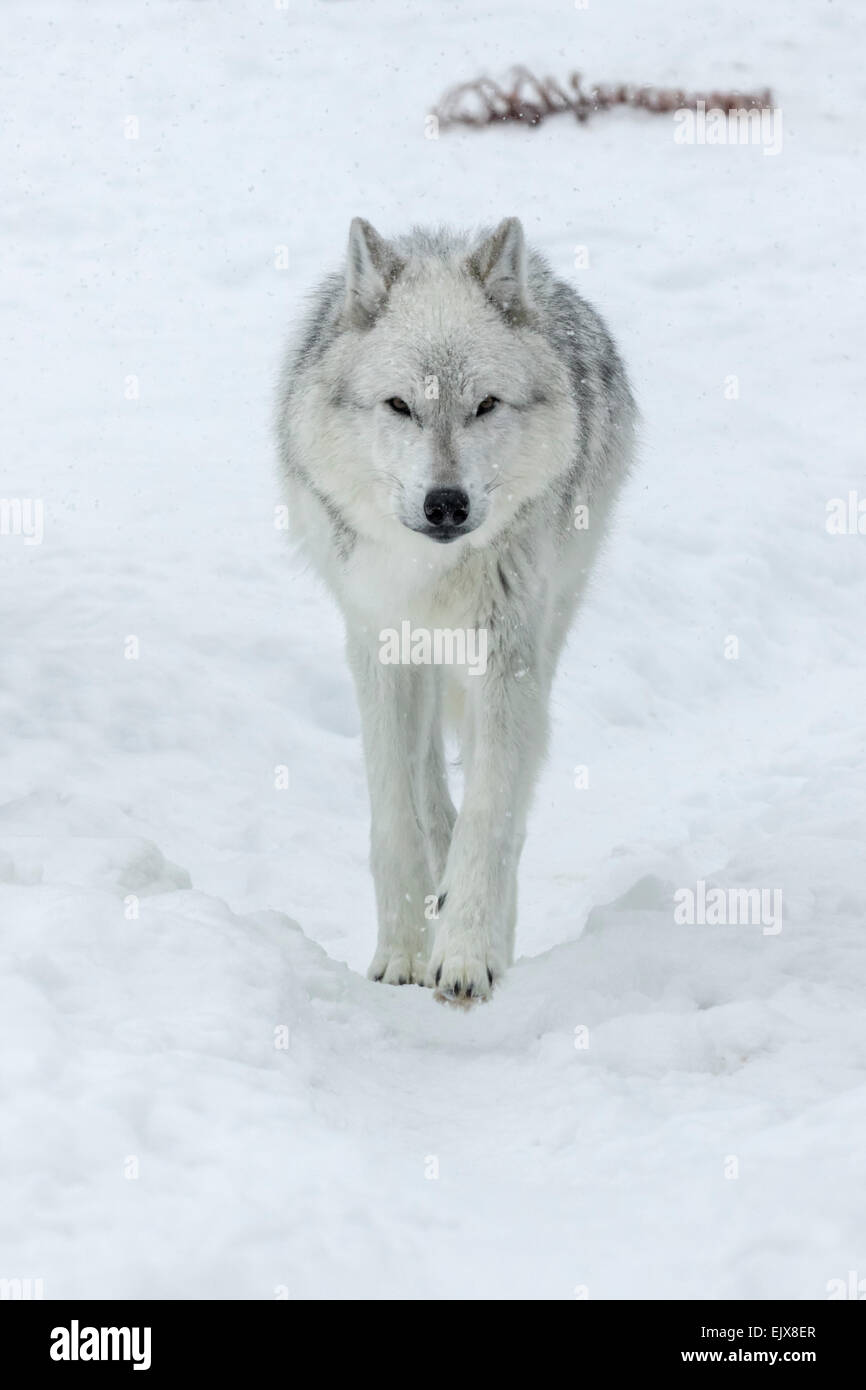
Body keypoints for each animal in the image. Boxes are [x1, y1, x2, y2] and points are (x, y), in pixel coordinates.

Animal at [276, 217, 636, 1004]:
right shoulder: (378, 645)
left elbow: (493, 814)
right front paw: (405, 953)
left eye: (485, 405)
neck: (433, 573)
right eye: (400, 406)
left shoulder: (508, 662)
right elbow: (394, 813)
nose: (447, 503)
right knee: (425, 779)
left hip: (547, 625)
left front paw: (469, 953)